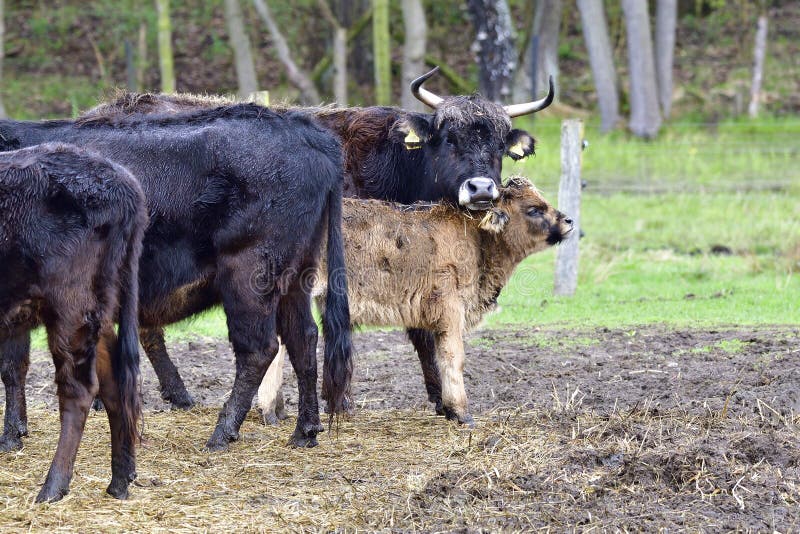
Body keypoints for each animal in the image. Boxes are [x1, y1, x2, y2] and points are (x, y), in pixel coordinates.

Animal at [0, 104, 353, 455]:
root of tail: (305, 129)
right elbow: (16, 365)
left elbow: (11, 366)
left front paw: (9, 437)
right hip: (295, 275)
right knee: (303, 338)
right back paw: (305, 431)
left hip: (250, 270)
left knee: (259, 348)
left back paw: (222, 434)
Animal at [0, 143, 146, 502]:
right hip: (96, 313)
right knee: (115, 383)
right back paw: (119, 480)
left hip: (70, 311)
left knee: (78, 391)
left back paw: (53, 487)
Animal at [259, 176, 572, 424]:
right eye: (533, 209)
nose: (569, 221)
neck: (475, 241)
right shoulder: (449, 309)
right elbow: (453, 357)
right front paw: (461, 412)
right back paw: (269, 410)